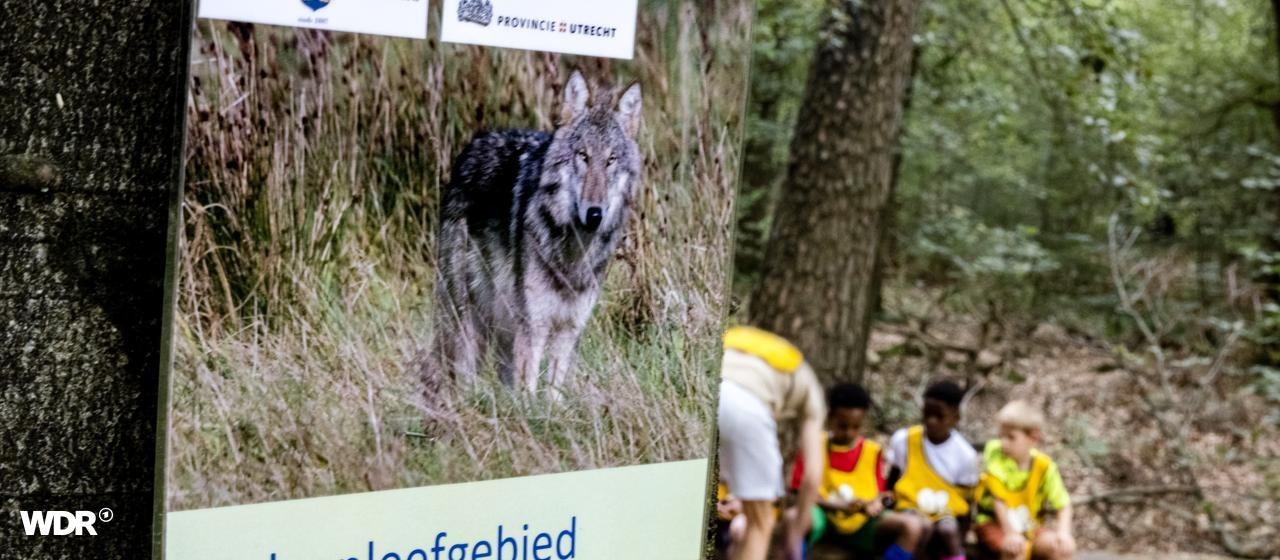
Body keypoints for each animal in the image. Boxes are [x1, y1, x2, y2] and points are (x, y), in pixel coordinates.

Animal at [425, 71, 642, 399]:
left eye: (611, 160)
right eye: (583, 156)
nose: (595, 214)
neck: (572, 255)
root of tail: (476, 142)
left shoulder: (568, 331)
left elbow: (553, 393)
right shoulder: (533, 327)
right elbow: (528, 391)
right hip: (467, 317)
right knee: (464, 371)